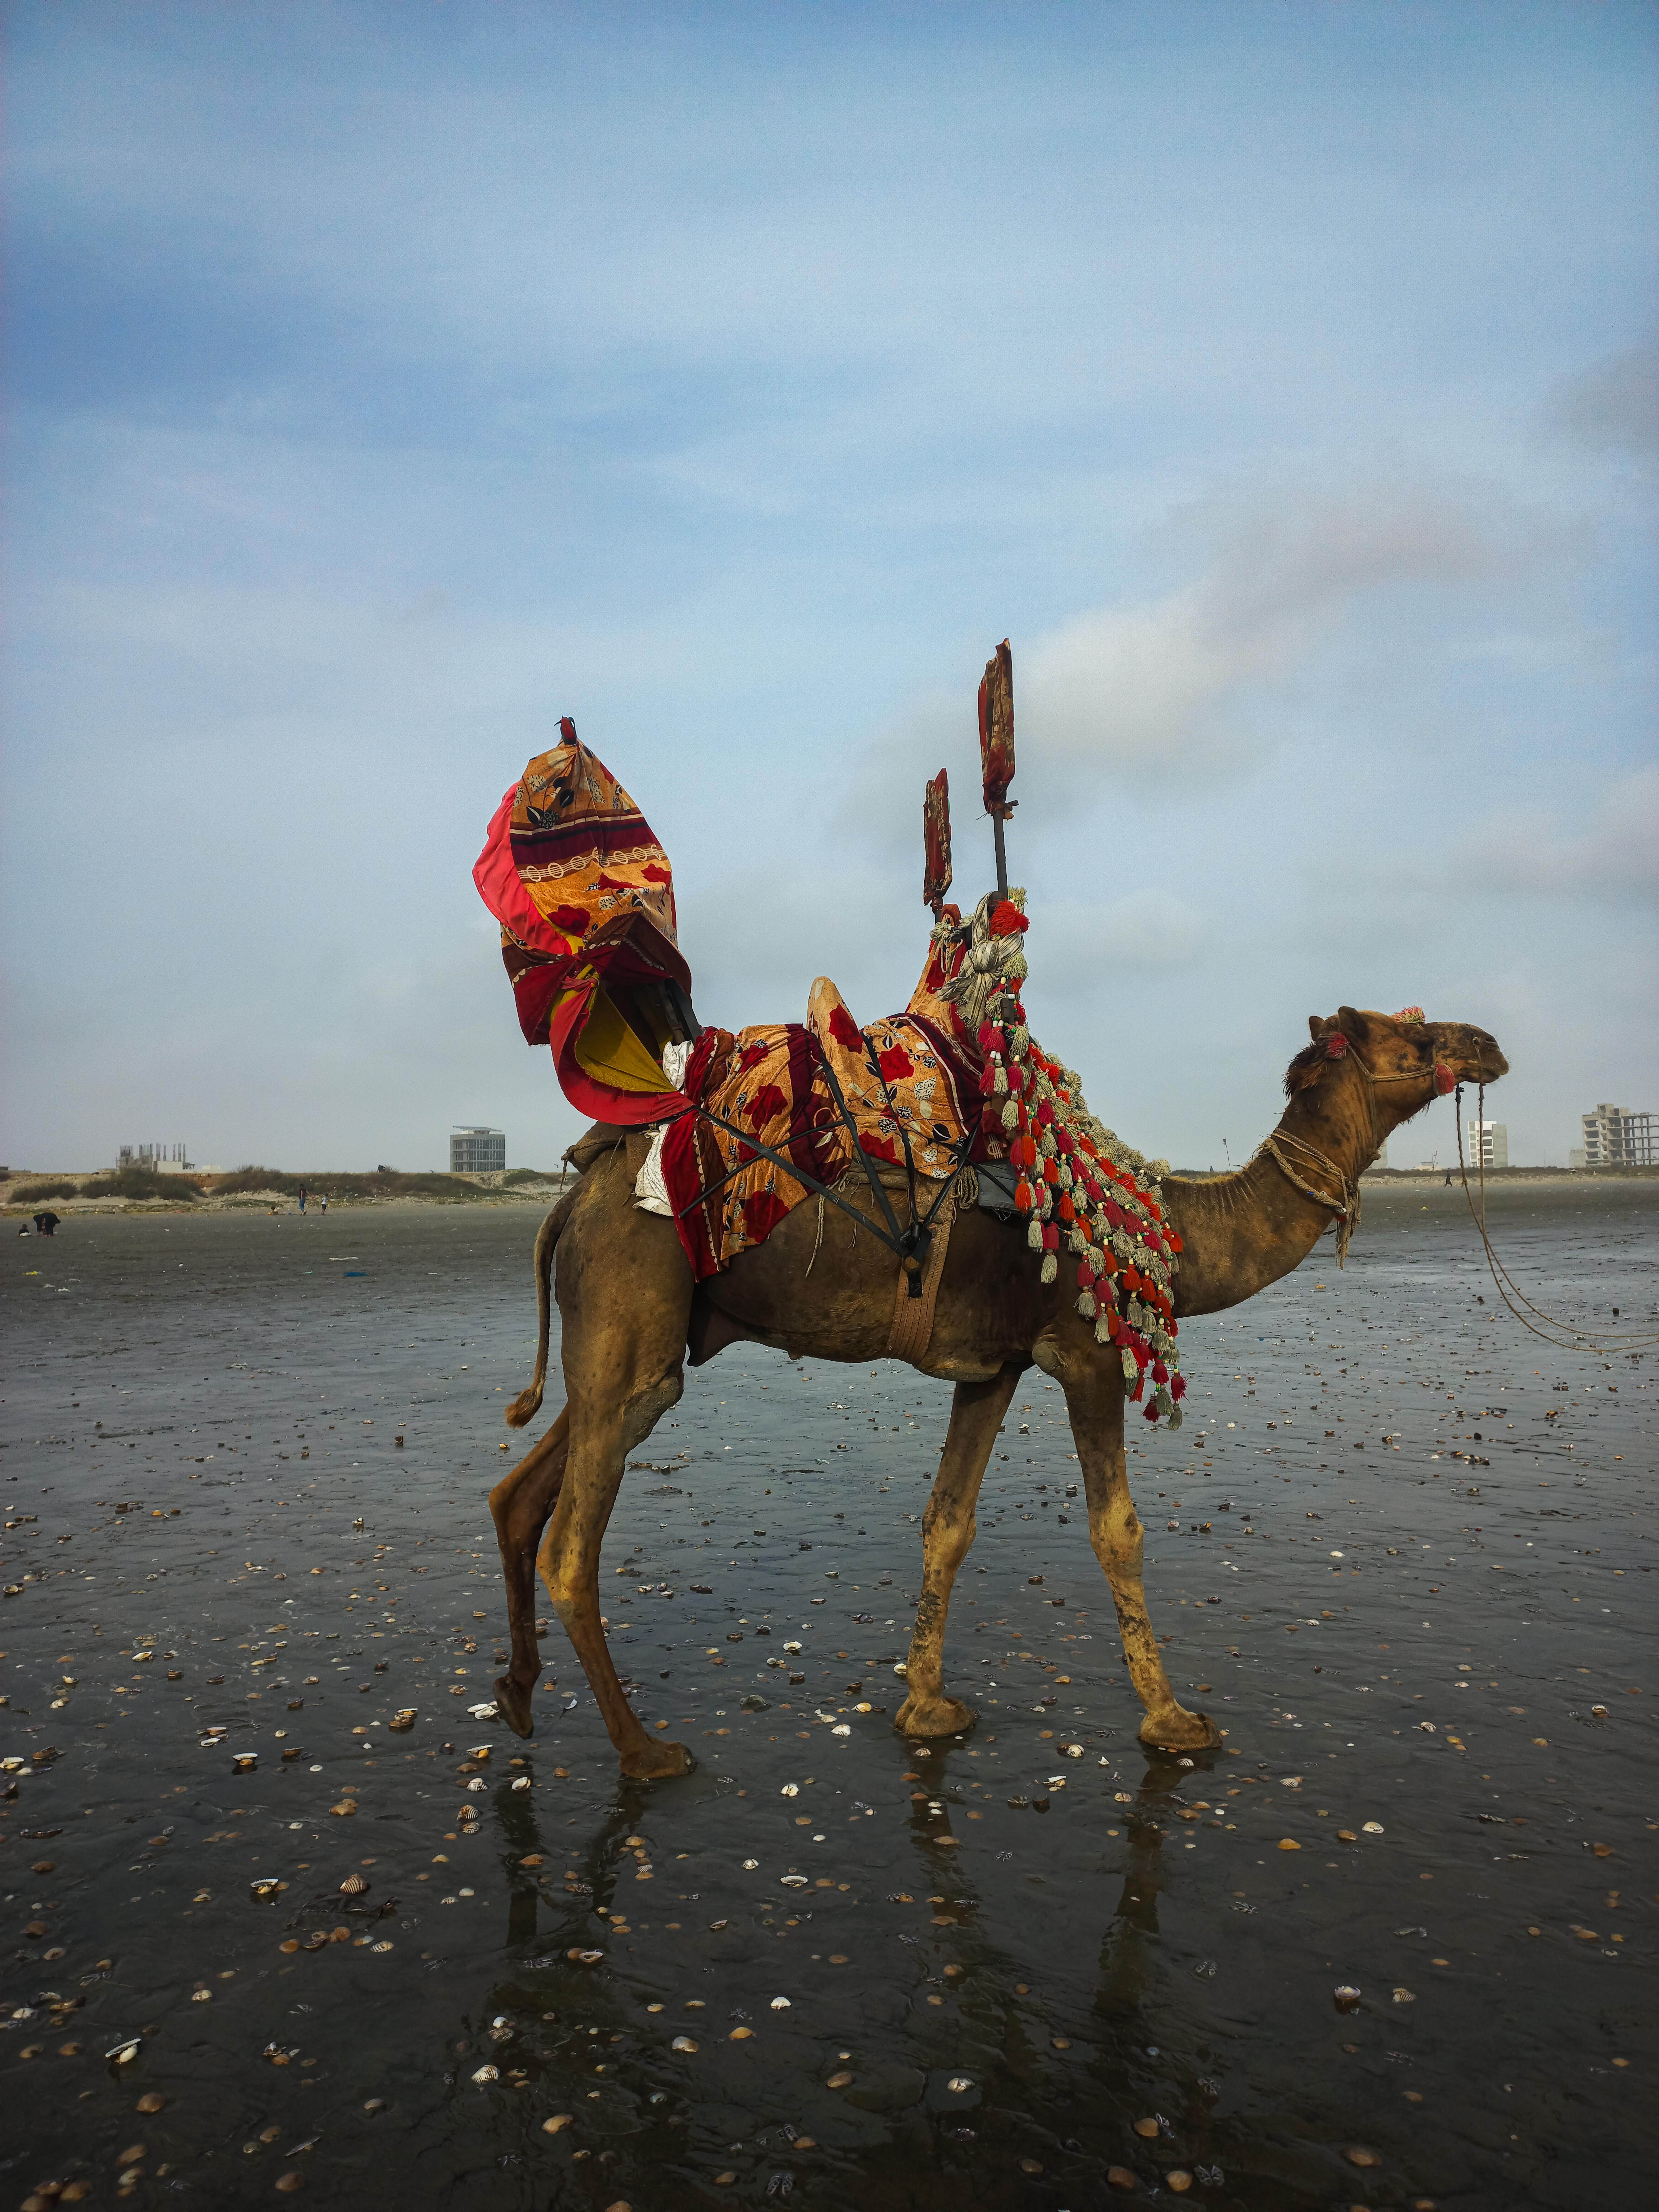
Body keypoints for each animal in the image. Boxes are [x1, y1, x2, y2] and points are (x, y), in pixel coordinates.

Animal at [486, 1002, 1506, 1779]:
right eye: (1414, 1037)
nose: (1488, 1043)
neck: (1162, 1226)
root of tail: (571, 1201)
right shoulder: (1083, 1355)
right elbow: (1117, 1532)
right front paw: (1173, 1720)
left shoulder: (996, 1366)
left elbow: (948, 1520)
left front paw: (927, 1708)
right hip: (633, 1312)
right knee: (572, 1544)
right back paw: (644, 1751)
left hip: (636, 1350)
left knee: (519, 1495)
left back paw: (521, 1697)